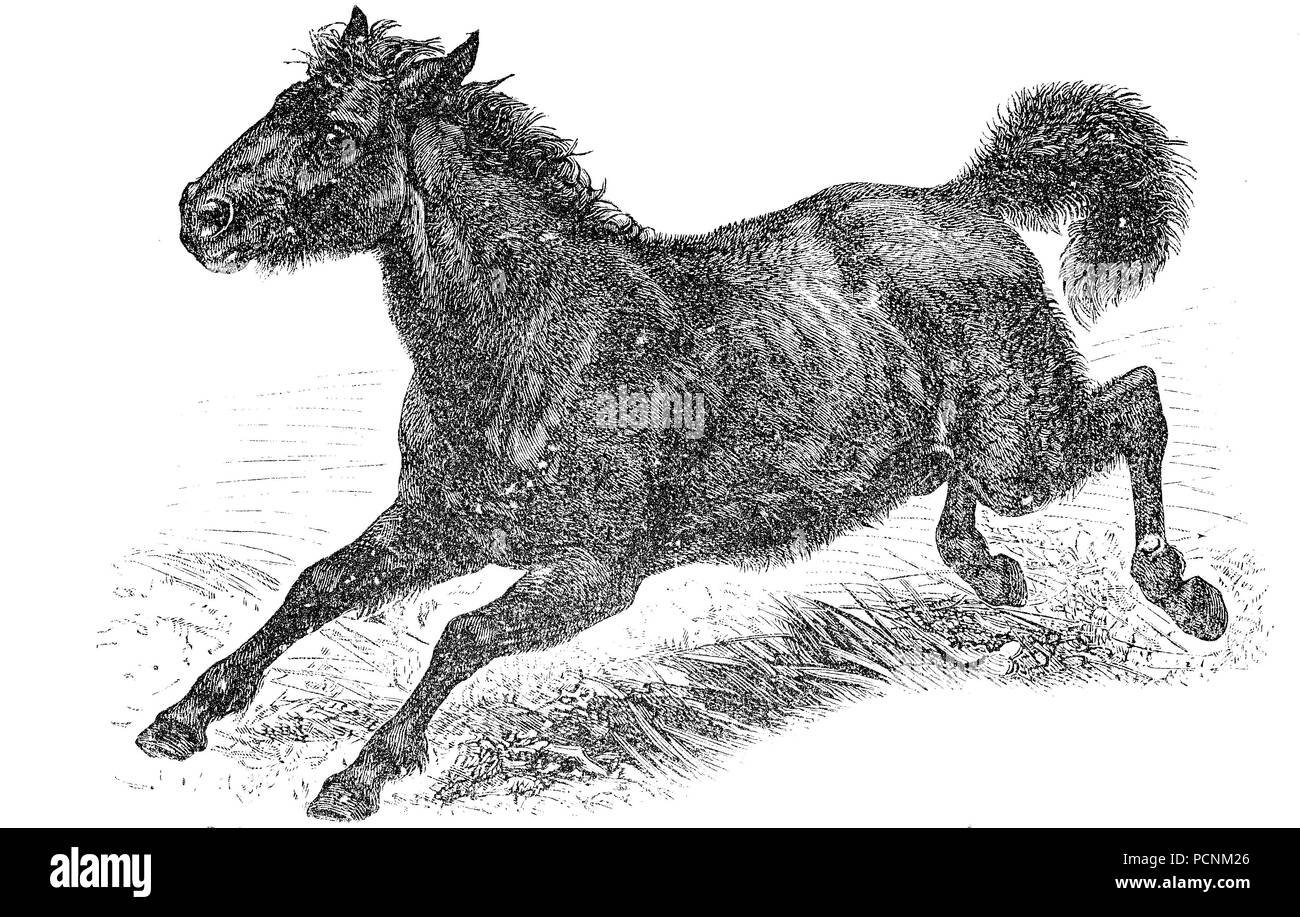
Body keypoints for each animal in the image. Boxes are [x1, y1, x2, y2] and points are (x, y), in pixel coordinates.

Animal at [139, 6, 1227, 821]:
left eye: (337, 133)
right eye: (283, 102)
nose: (200, 213)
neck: (529, 334)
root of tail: (966, 200)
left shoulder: (599, 568)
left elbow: (461, 635)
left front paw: (361, 770)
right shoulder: (442, 522)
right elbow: (316, 585)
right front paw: (182, 718)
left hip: (1022, 446)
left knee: (1137, 402)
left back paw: (1178, 590)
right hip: (974, 445)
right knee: (977, 468)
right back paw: (988, 568)